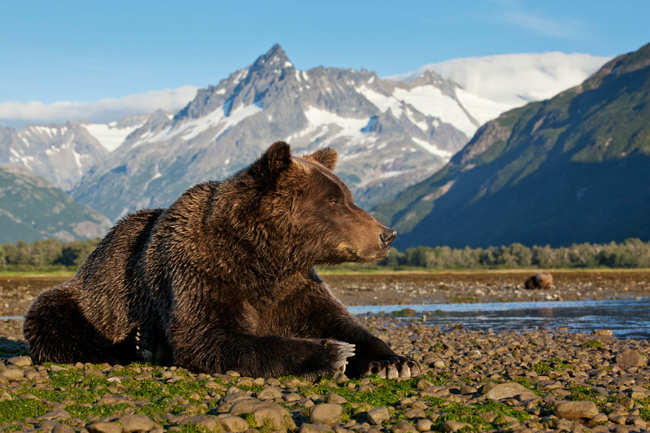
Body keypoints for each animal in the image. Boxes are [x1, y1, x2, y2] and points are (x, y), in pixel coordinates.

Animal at [24, 141, 420, 380]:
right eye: (334, 201)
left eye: (348, 195)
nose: (387, 234)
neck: (263, 258)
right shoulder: (201, 272)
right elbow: (210, 336)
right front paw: (331, 353)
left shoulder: (295, 285)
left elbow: (341, 320)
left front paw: (394, 362)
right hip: (94, 295)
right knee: (55, 321)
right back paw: (141, 344)